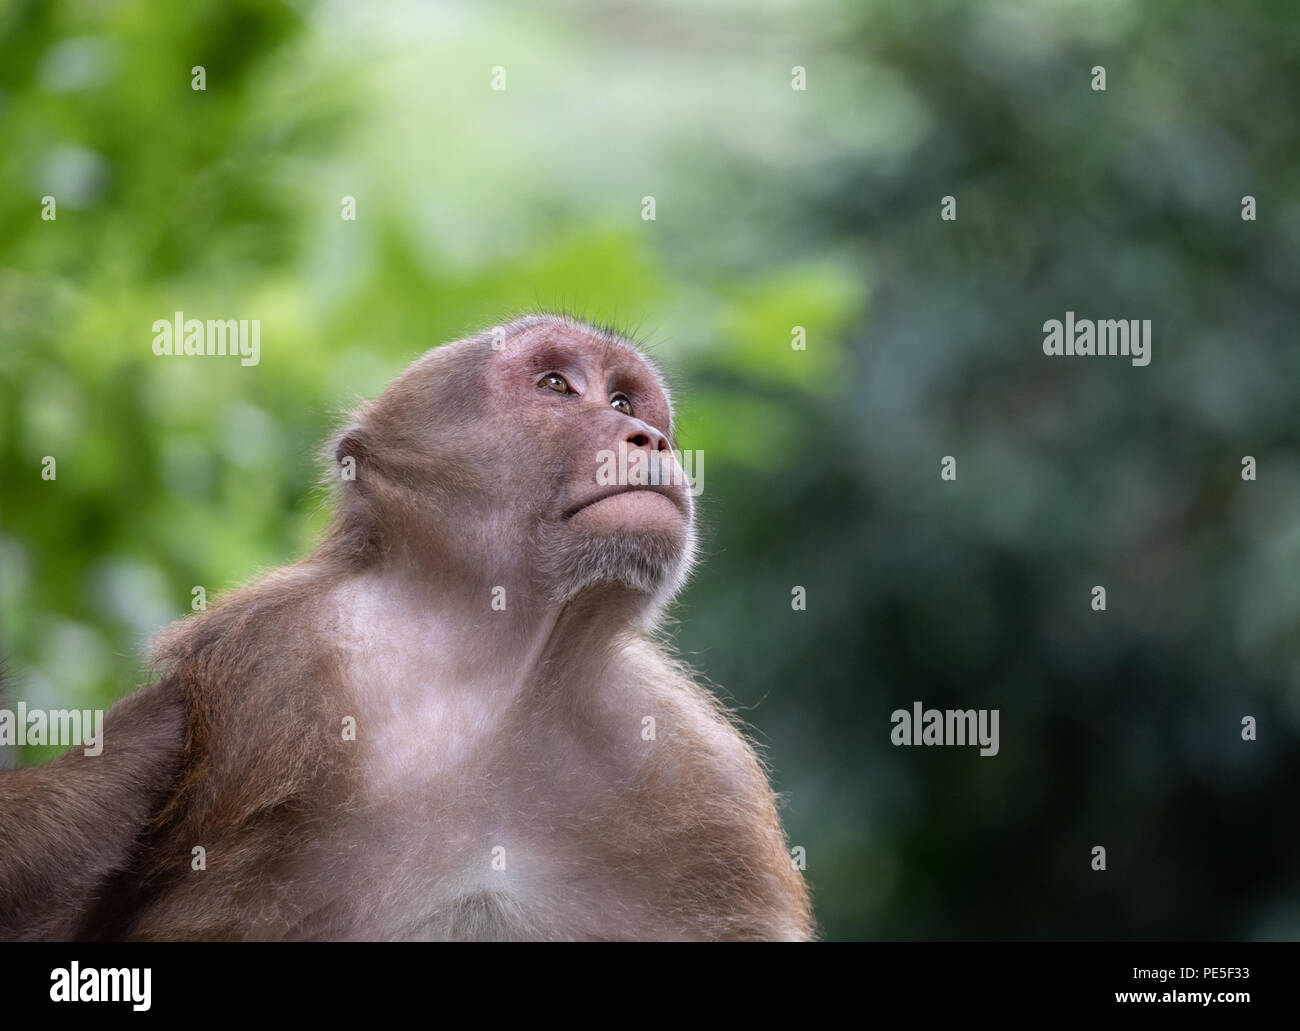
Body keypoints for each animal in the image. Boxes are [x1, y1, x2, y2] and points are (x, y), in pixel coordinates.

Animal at [0, 313, 814, 941]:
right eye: (557, 386)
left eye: (623, 397)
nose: (649, 436)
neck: (490, 680)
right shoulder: (270, 664)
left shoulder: (701, 780)